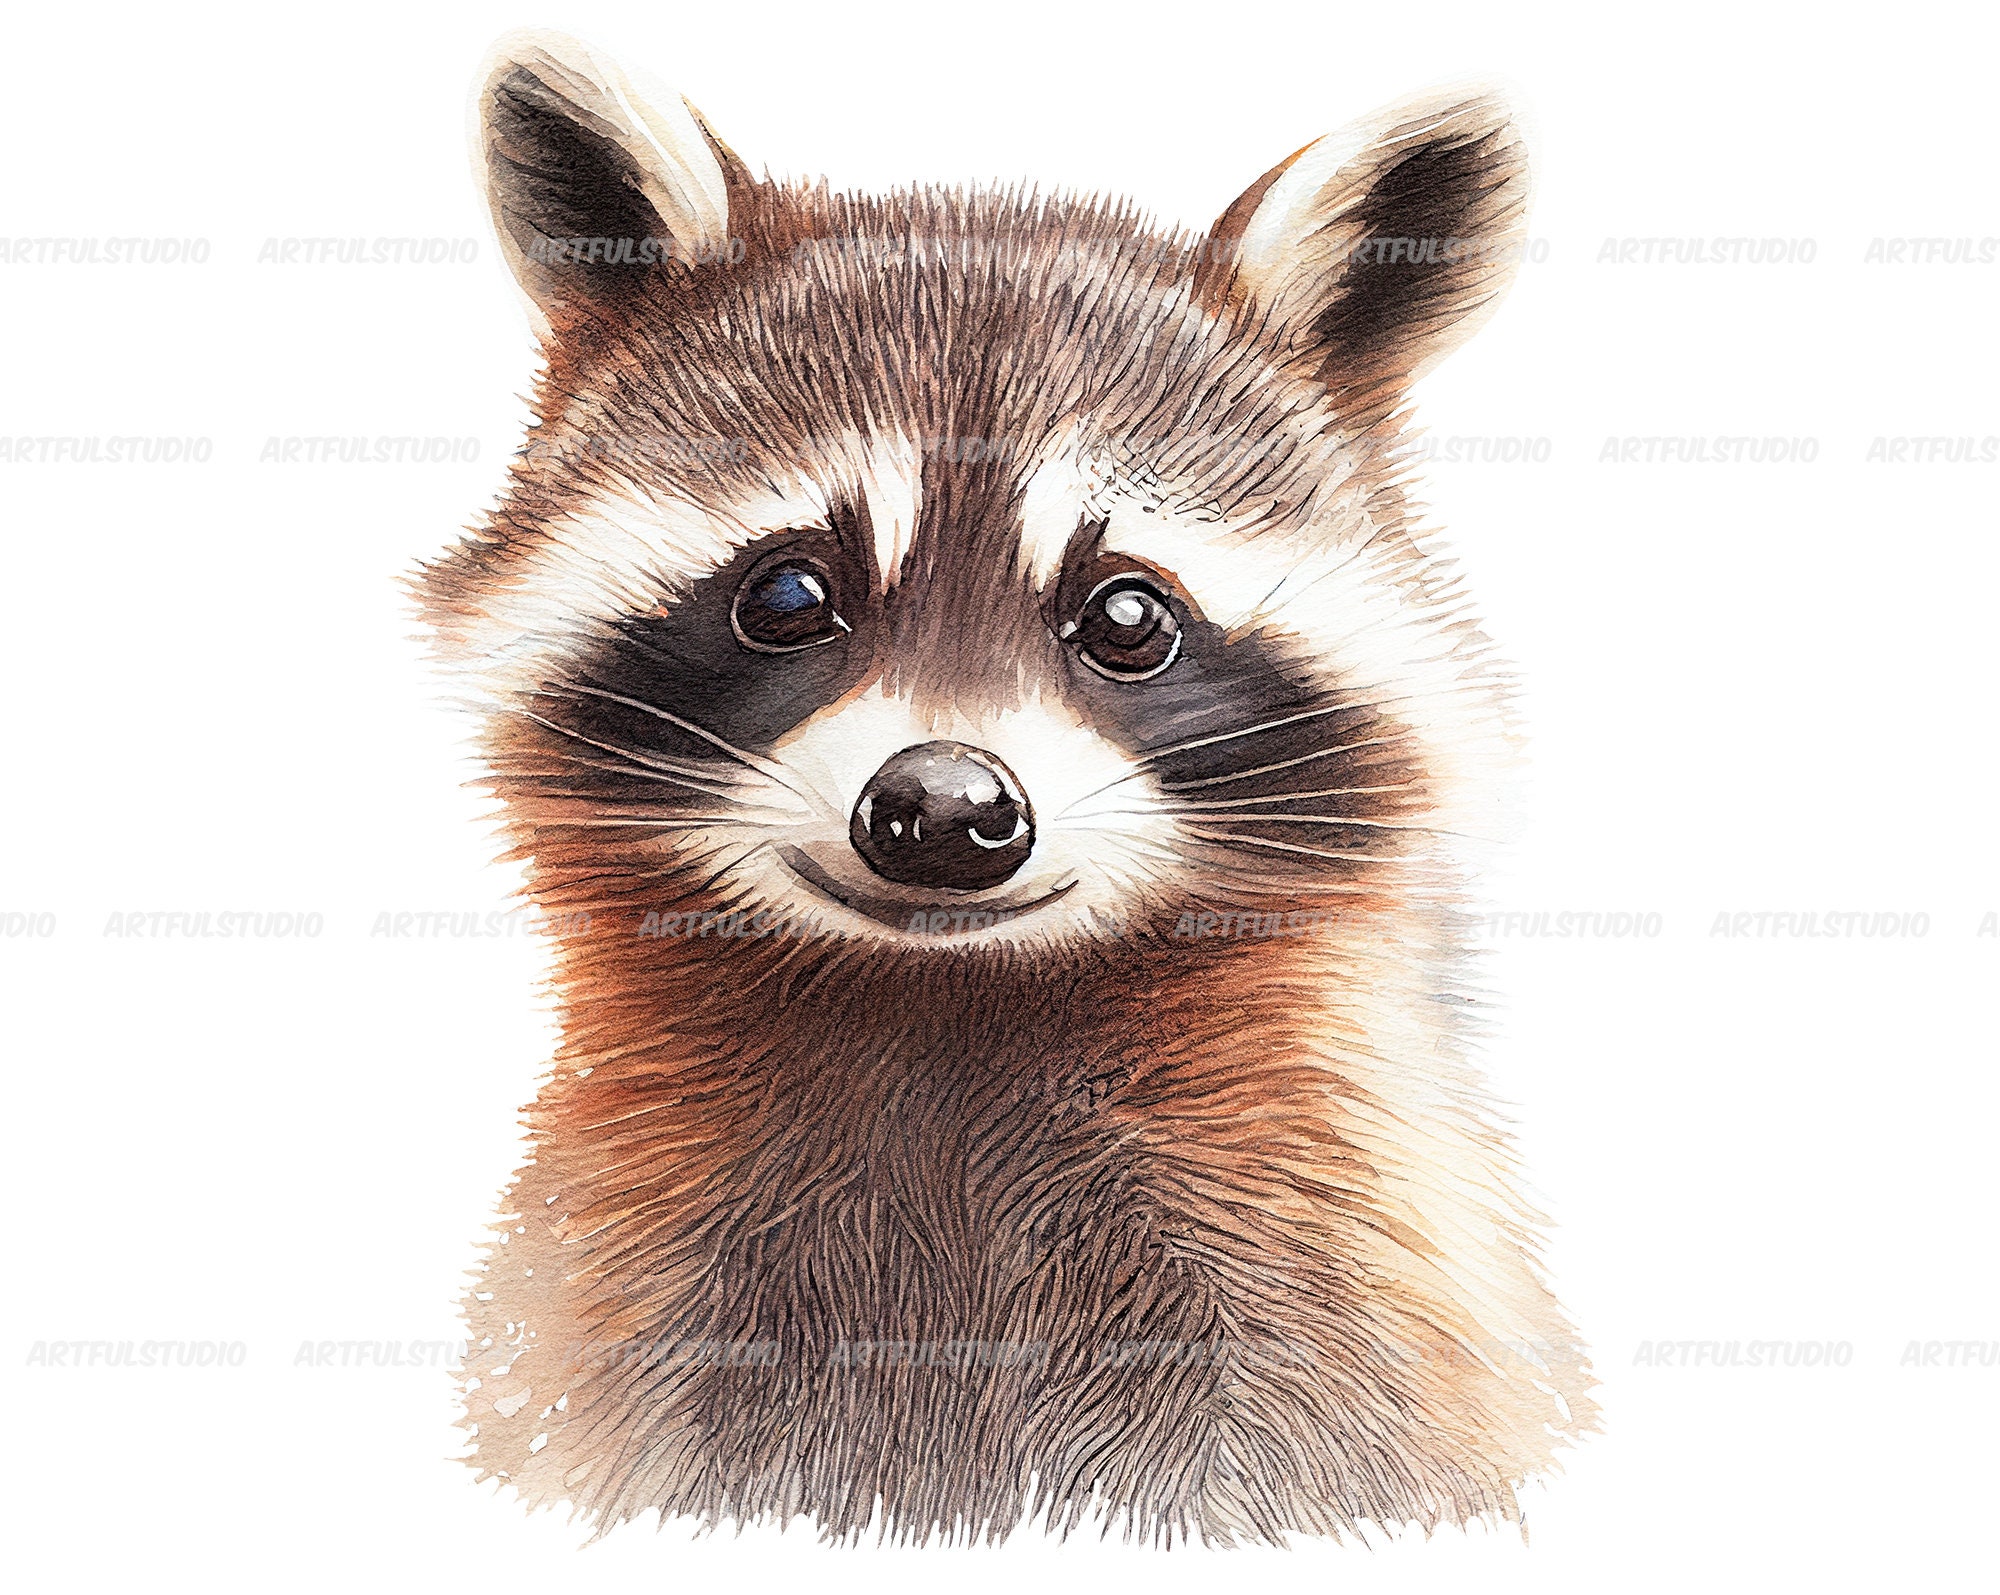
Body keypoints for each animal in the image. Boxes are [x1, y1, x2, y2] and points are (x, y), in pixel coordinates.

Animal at [420, 29, 1594, 1546]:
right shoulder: (617, 1295)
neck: (948, 1008)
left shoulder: (1349, 1286)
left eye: (1128, 614)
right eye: (788, 592)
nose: (942, 808)